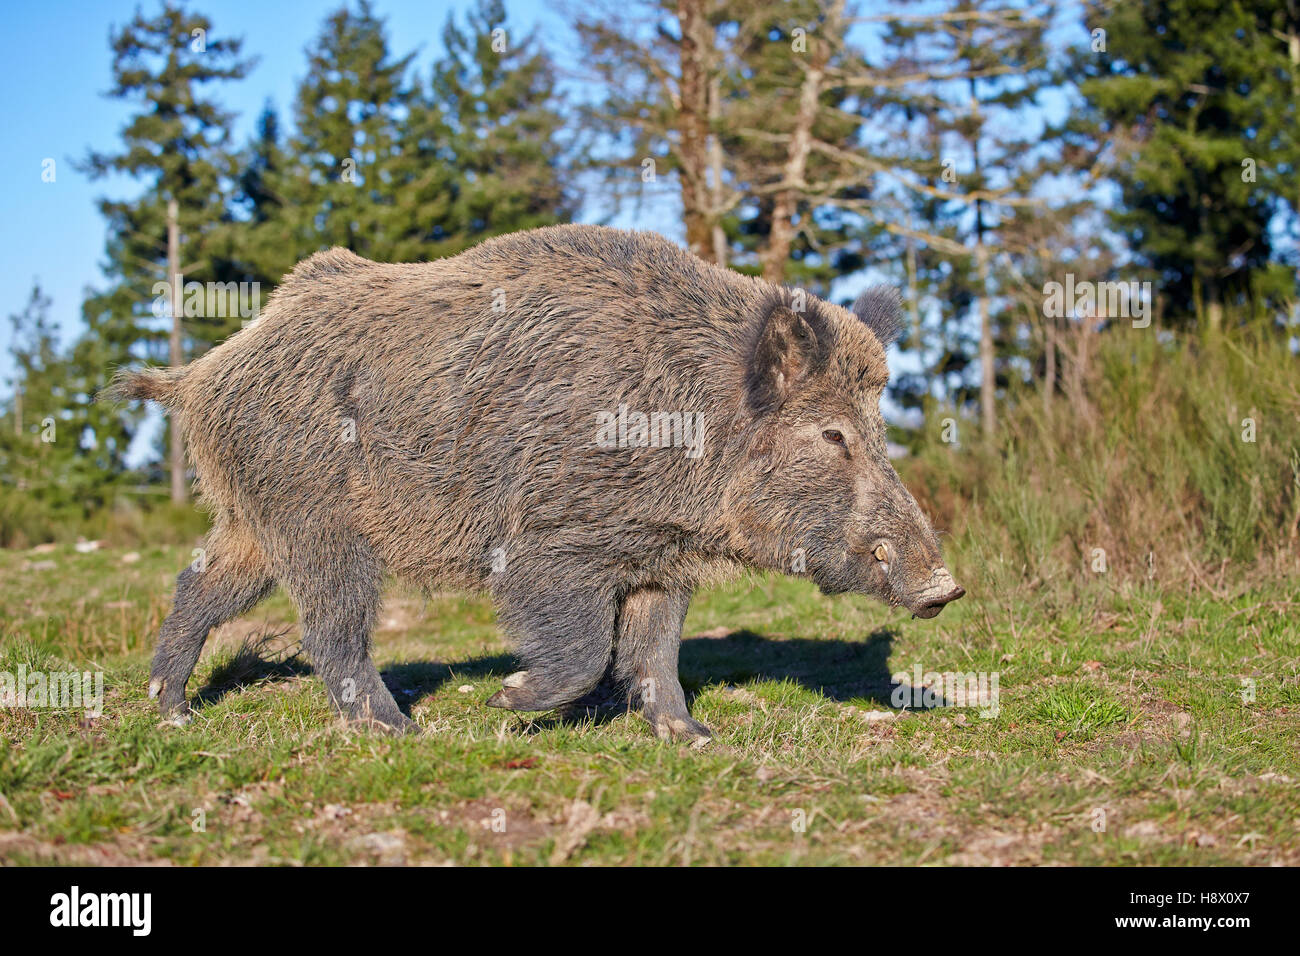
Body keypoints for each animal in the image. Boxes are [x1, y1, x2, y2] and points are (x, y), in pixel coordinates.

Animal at [106, 224, 963, 743]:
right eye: (832, 435)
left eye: (879, 426)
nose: (946, 585)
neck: (688, 421)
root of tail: (205, 373)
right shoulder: (551, 543)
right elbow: (584, 647)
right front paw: (506, 700)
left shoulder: (661, 557)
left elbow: (655, 649)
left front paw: (693, 739)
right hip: (317, 518)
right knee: (331, 627)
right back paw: (402, 731)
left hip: (253, 522)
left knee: (199, 586)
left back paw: (172, 712)